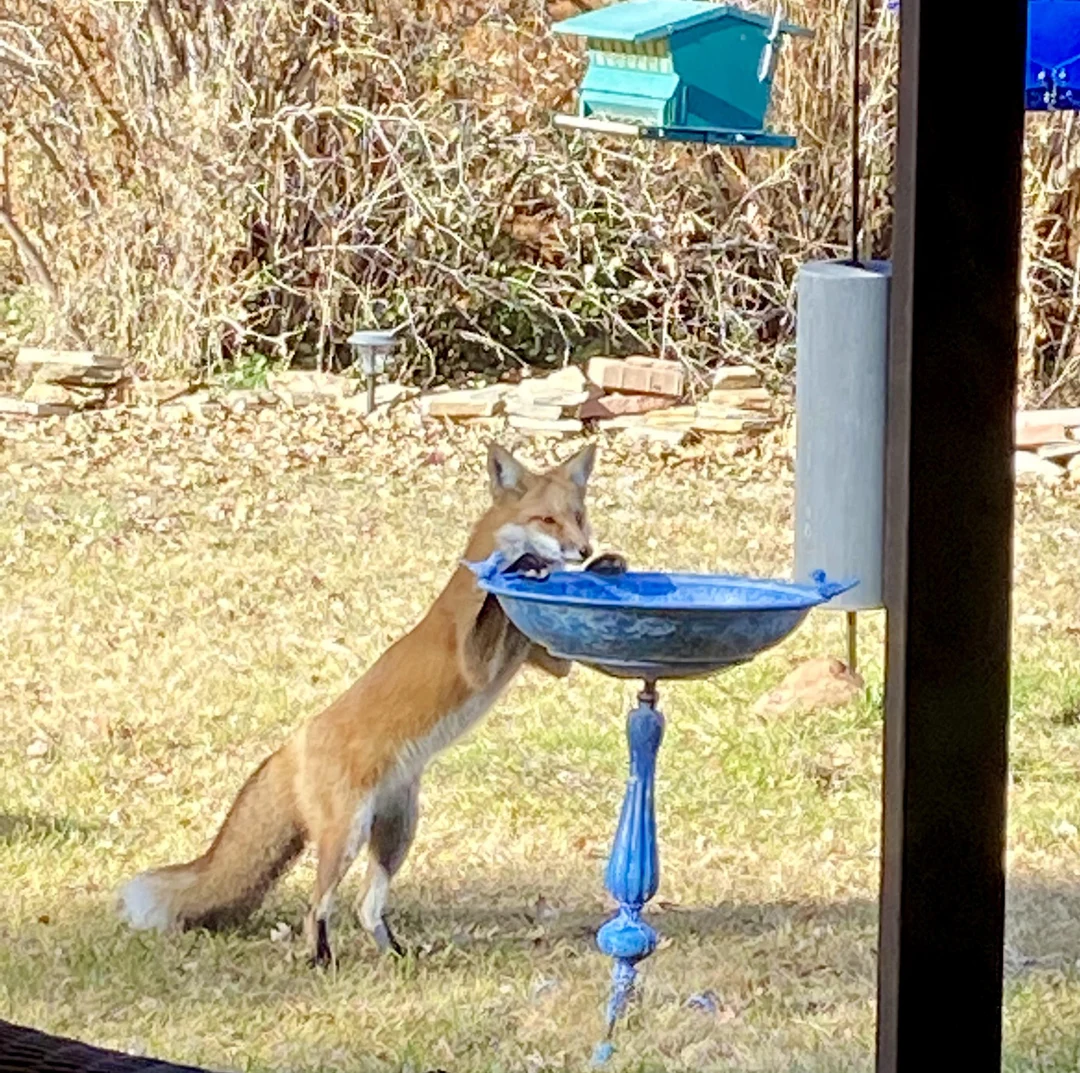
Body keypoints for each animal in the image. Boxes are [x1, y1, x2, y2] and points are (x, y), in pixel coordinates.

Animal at [117, 441, 626, 966]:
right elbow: (491, 602)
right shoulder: (473, 661)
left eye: (578, 517)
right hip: (347, 835)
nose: (583, 549)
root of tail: (292, 743)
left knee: (367, 906)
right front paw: (519, 568)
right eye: (546, 519)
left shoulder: (545, 655)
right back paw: (322, 960)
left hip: (397, 832)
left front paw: (606, 566)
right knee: (315, 909)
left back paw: (396, 956)